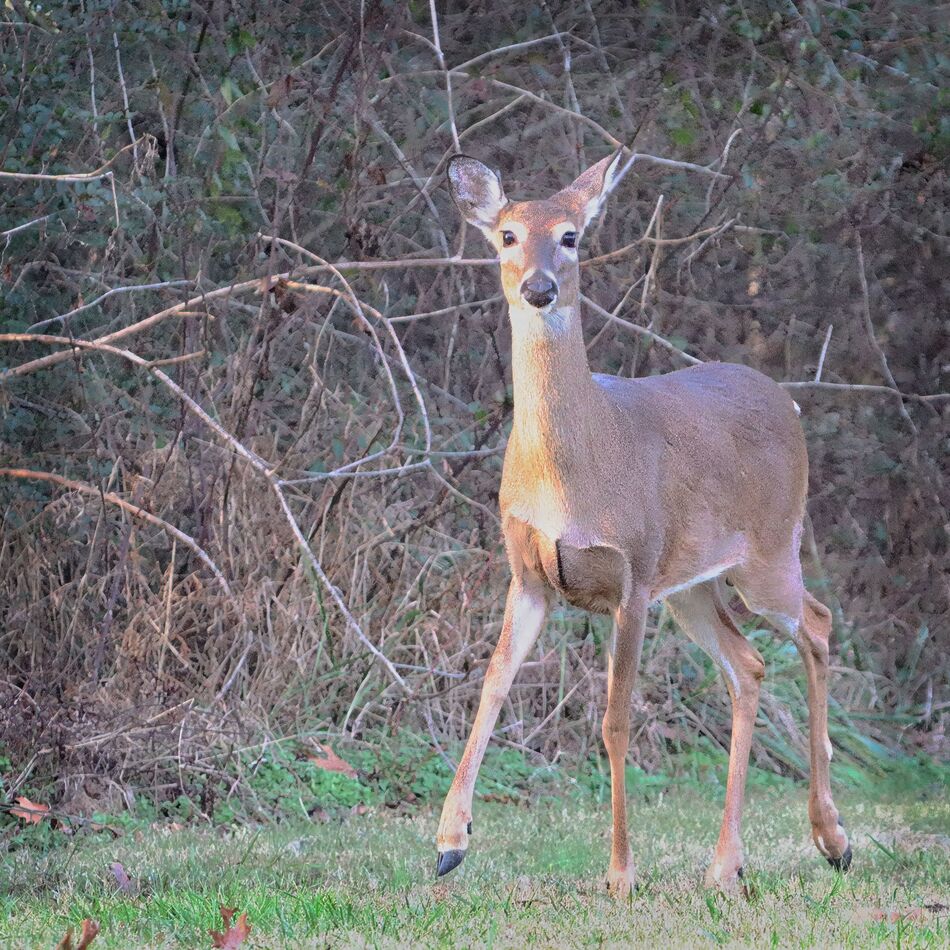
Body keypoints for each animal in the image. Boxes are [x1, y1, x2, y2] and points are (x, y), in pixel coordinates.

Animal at [434, 151, 852, 896]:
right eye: (507, 235)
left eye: (571, 236)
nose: (539, 287)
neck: (570, 474)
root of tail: (787, 401)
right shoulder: (527, 573)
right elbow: (491, 686)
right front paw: (450, 840)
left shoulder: (629, 576)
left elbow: (615, 722)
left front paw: (622, 873)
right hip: (691, 583)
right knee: (747, 664)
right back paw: (725, 865)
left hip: (767, 552)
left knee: (819, 625)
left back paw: (832, 839)